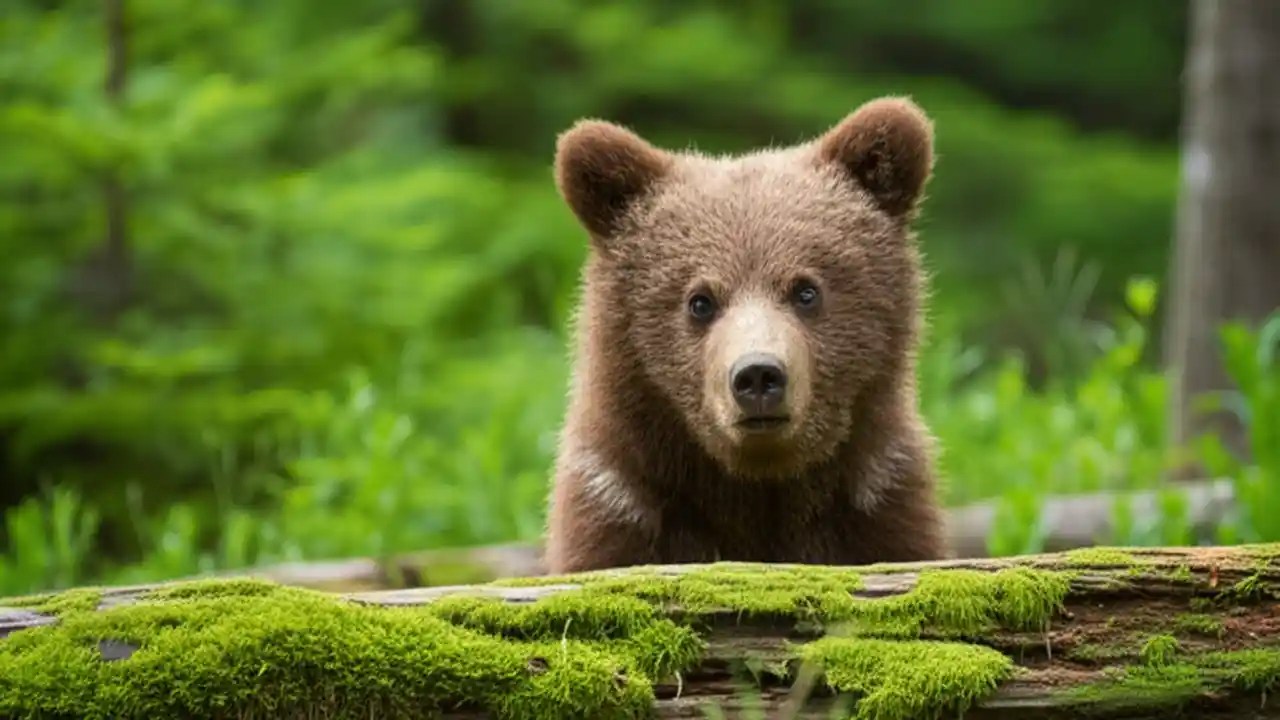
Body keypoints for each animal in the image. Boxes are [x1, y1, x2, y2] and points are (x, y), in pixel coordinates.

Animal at [543, 96, 946, 574]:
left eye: (806, 291)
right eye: (700, 301)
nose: (757, 375)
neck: (754, 485)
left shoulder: (876, 503)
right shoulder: (623, 503)